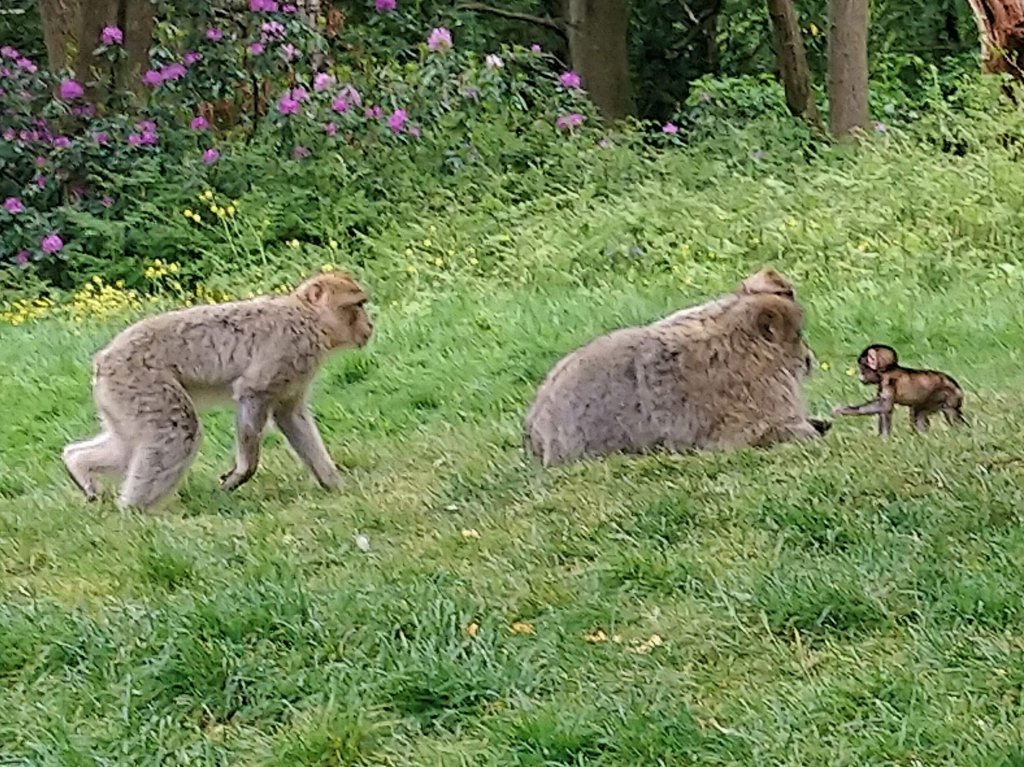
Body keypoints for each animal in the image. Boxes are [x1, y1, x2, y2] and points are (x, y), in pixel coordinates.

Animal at [61, 271, 373, 511]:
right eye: (357, 305)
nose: (370, 324)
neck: (308, 317)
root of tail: (103, 361)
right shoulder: (288, 349)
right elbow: (251, 392)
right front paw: (243, 471)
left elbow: (290, 416)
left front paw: (334, 484)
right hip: (140, 382)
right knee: (176, 431)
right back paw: (135, 511)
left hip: (119, 396)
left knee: (128, 441)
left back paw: (77, 465)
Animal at [831, 344, 968, 437]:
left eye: (862, 369)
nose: (860, 377)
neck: (887, 370)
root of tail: (957, 388)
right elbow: (885, 411)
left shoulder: (887, 382)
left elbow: (884, 407)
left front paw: (843, 410)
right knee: (918, 413)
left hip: (947, 395)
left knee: (948, 413)